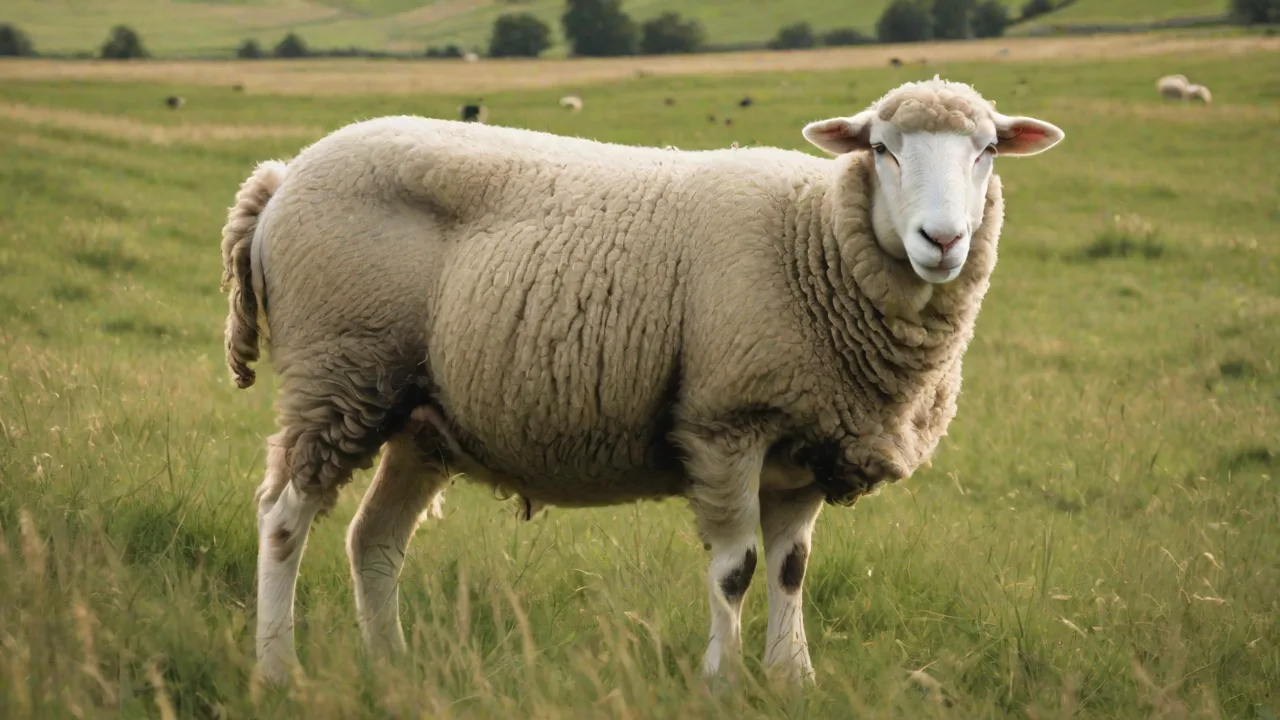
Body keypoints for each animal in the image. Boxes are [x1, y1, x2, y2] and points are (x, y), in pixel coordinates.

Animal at [220, 75, 1064, 687]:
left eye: (988, 149)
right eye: (884, 149)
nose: (942, 240)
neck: (814, 241)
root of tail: (282, 177)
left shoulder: (805, 439)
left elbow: (791, 570)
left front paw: (794, 681)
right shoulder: (726, 422)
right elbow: (736, 570)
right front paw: (720, 682)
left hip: (418, 414)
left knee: (374, 540)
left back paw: (390, 665)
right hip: (338, 371)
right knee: (284, 517)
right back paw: (278, 667)